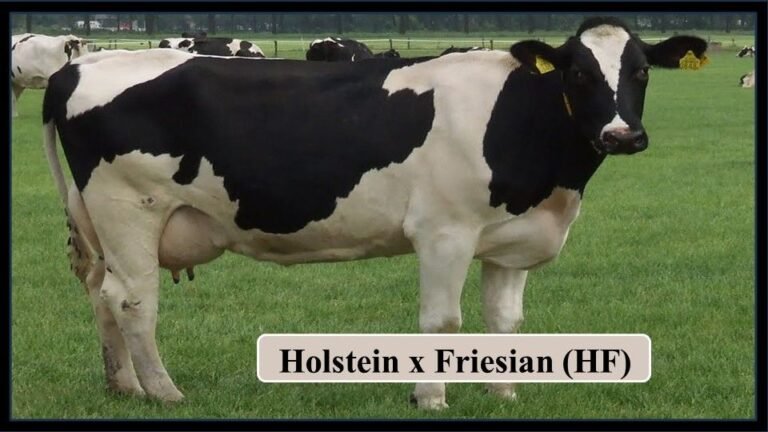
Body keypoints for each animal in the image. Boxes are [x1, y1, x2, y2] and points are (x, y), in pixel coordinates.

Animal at [42, 17, 706, 409]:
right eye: (578, 72)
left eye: (641, 71)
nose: (622, 134)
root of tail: (84, 63)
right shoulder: (444, 232)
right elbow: (442, 321)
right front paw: (431, 398)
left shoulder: (510, 237)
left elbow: (505, 321)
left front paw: (504, 392)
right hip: (131, 208)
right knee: (133, 300)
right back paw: (163, 390)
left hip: (99, 222)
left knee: (101, 293)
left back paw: (123, 385)